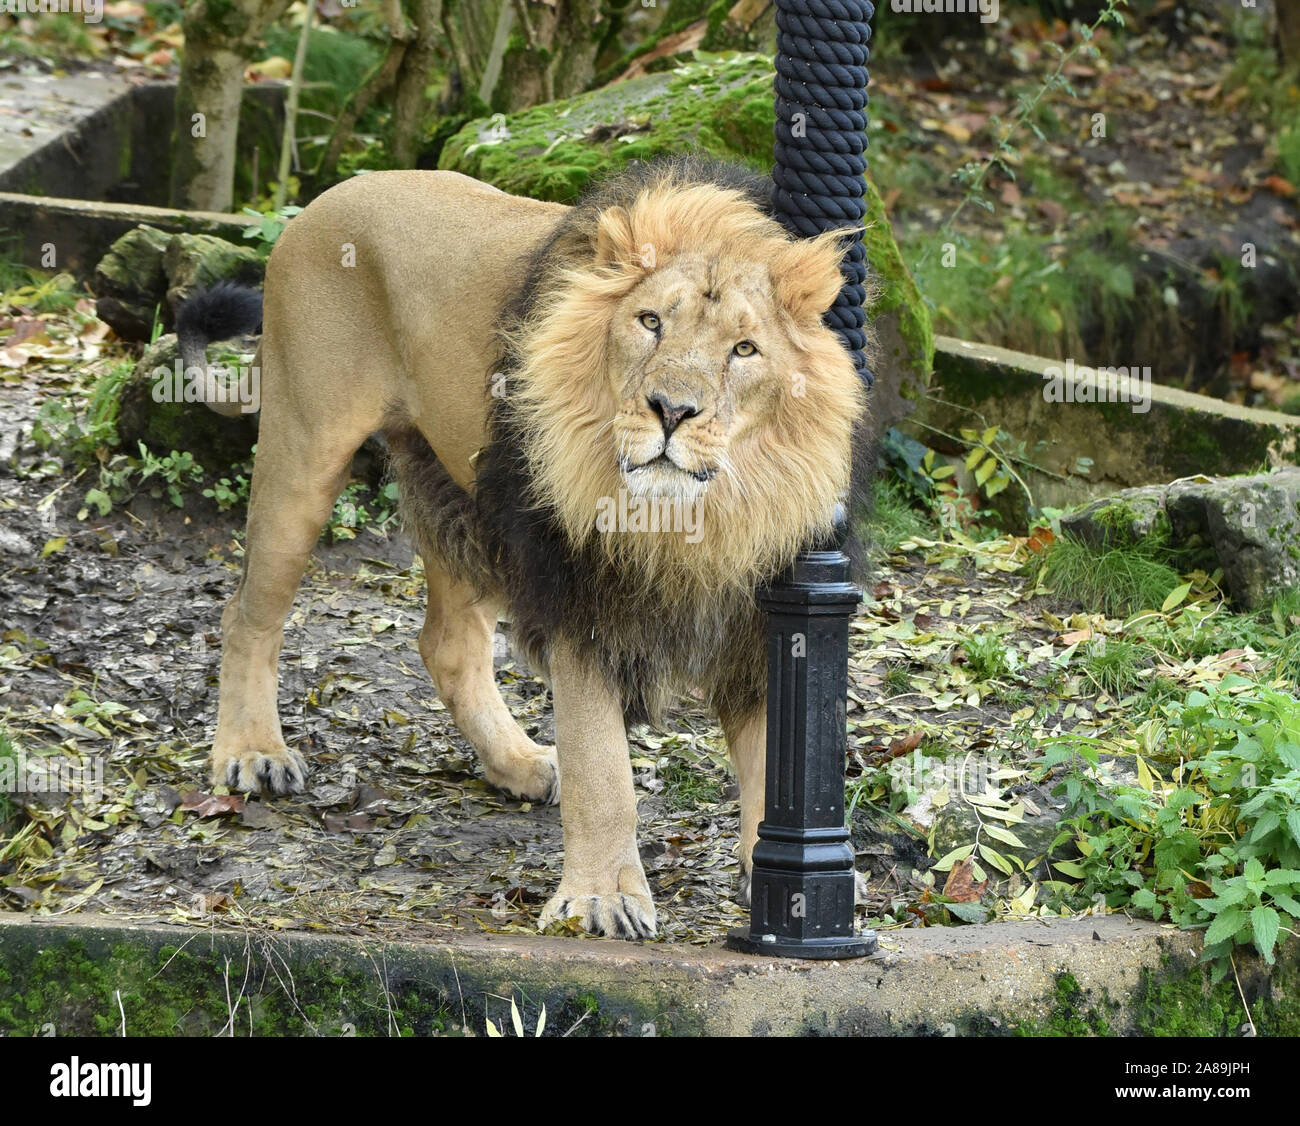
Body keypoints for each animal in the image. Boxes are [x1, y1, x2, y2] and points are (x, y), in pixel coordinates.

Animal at [180, 158, 868, 939]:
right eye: (650, 322)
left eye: (744, 350)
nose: (671, 410)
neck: (700, 521)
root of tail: (332, 194)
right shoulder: (579, 594)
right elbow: (603, 768)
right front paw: (602, 900)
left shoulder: (763, 614)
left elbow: (772, 758)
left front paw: (787, 893)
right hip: (305, 449)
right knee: (248, 612)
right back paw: (252, 754)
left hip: (463, 496)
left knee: (446, 643)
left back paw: (518, 763)